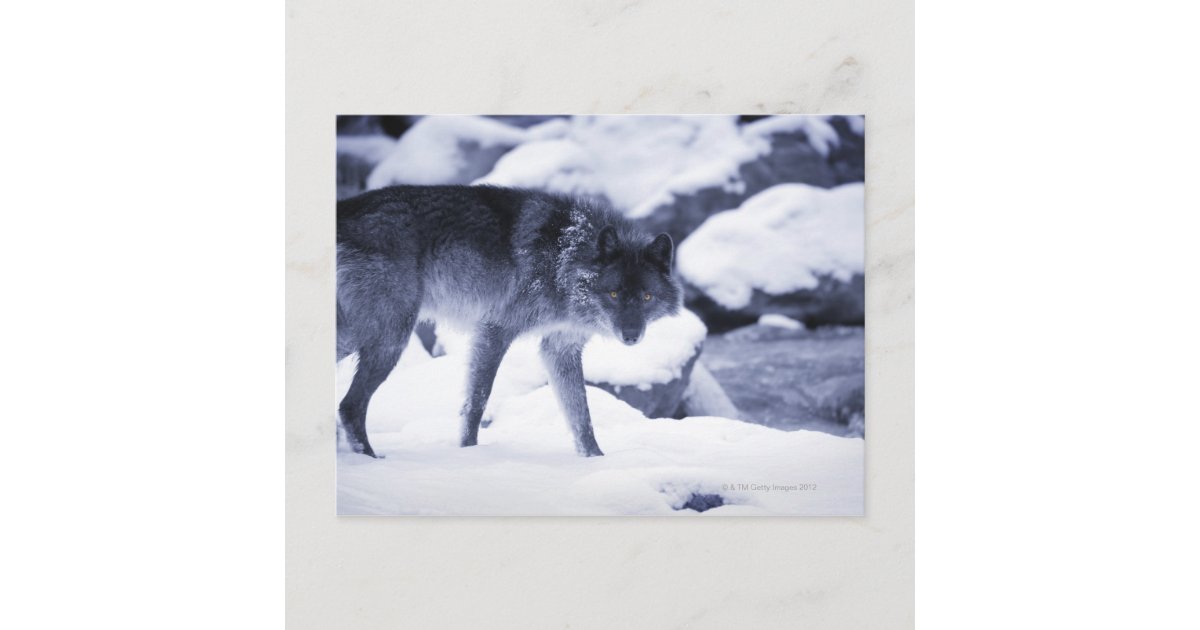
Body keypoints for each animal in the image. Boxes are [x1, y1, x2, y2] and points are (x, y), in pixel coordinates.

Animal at [336, 185, 682, 458]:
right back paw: (371, 459)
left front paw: (596, 460)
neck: (564, 257)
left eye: (646, 297)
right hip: (387, 338)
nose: (631, 336)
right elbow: (477, 402)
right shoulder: (495, 330)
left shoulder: (560, 348)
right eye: (613, 294)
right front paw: (468, 453)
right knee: (350, 406)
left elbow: (581, 416)